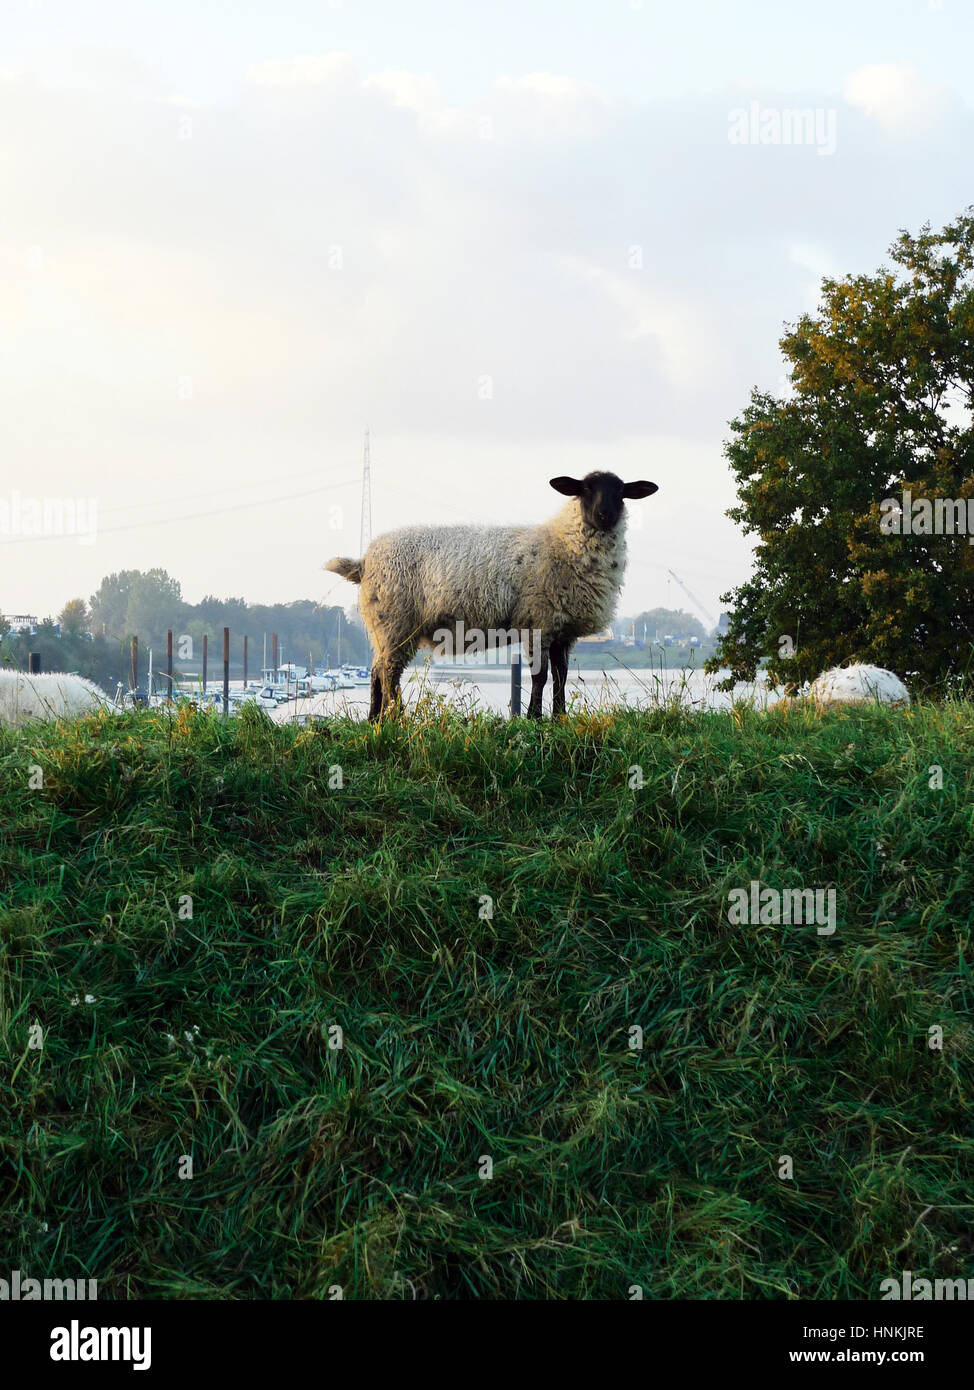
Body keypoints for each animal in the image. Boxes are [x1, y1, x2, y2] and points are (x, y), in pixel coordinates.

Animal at [325, 471, 659, 719]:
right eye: (586, 488)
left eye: (621, 492)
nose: (605, 514)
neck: (562, 545)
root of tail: (364, 561)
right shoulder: (537, 621)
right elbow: (540, 675)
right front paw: (534, 718)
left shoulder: (562, 630)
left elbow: (561, 675)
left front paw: (560, 718)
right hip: (396, 621)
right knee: (389, 672)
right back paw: (396, 717)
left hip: (383, 626)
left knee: (376, 670)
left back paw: (375, 720)